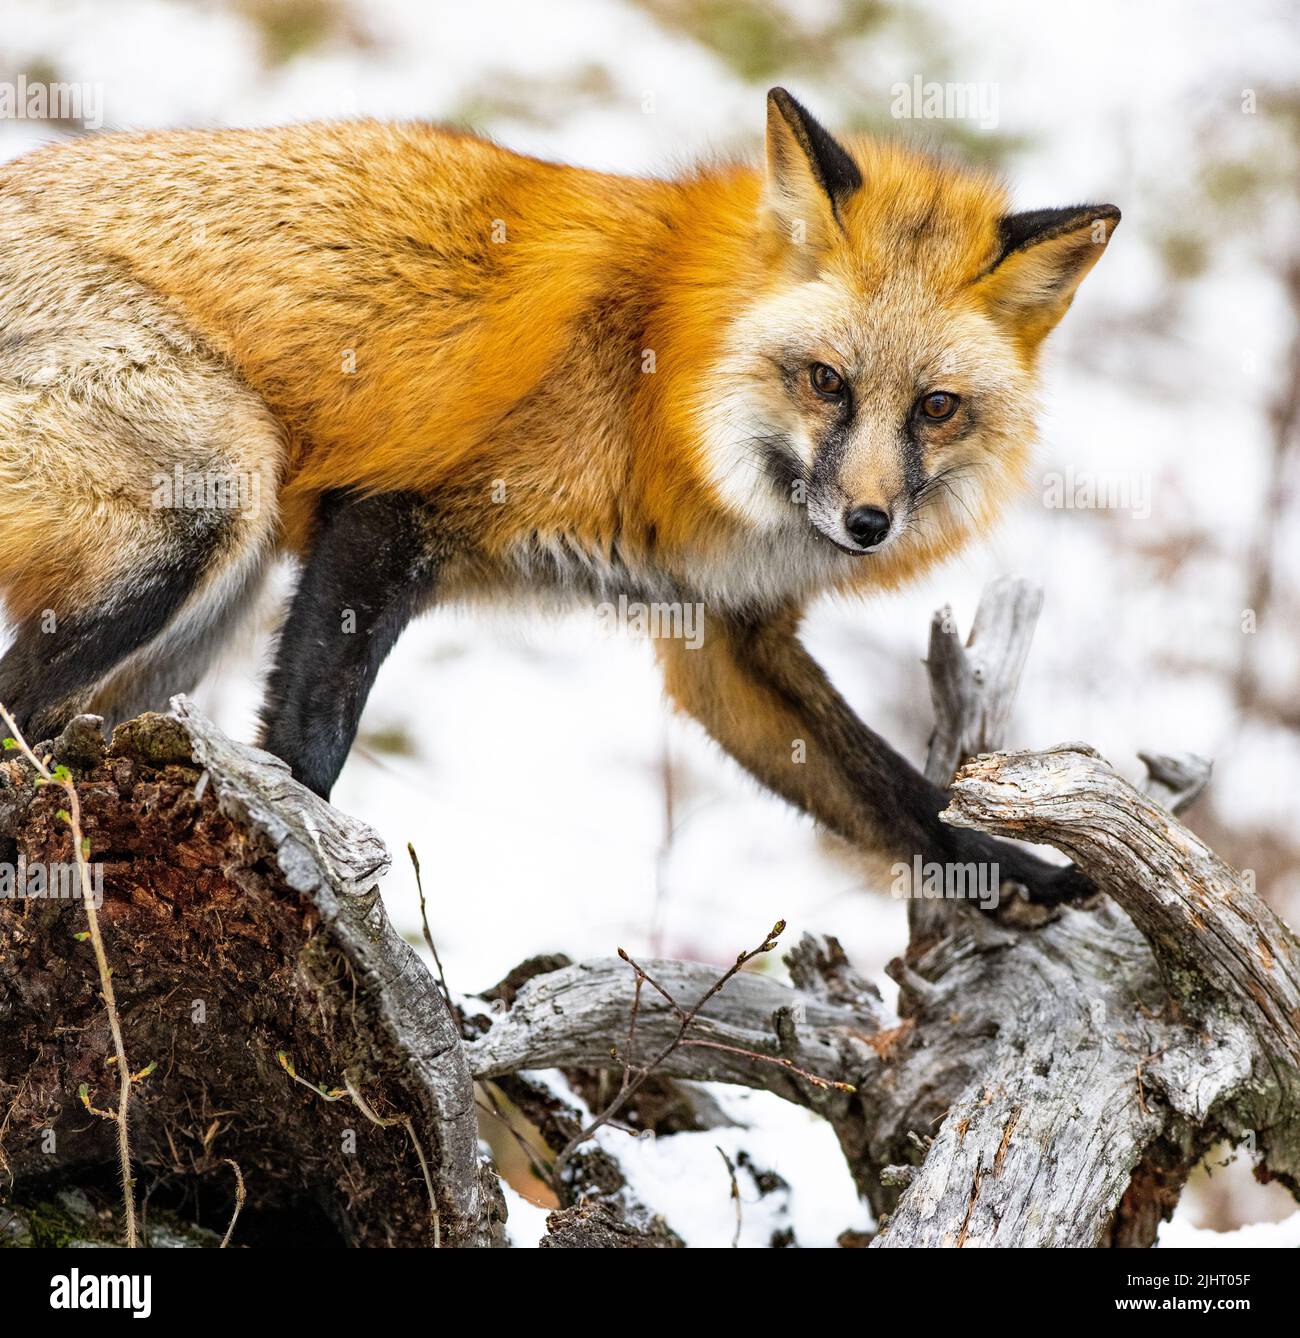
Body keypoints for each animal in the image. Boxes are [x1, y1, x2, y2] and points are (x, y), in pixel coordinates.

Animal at [0, 88, 1117, 905]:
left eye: (936, 407)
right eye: (826, 382)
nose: (867, 524)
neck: (655, 381)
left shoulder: (724, 639)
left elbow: (898, 798)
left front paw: (1029, 877)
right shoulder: (385, 513)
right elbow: (311, 744)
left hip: (207, 606)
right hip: (213, 499)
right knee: (19, 701)